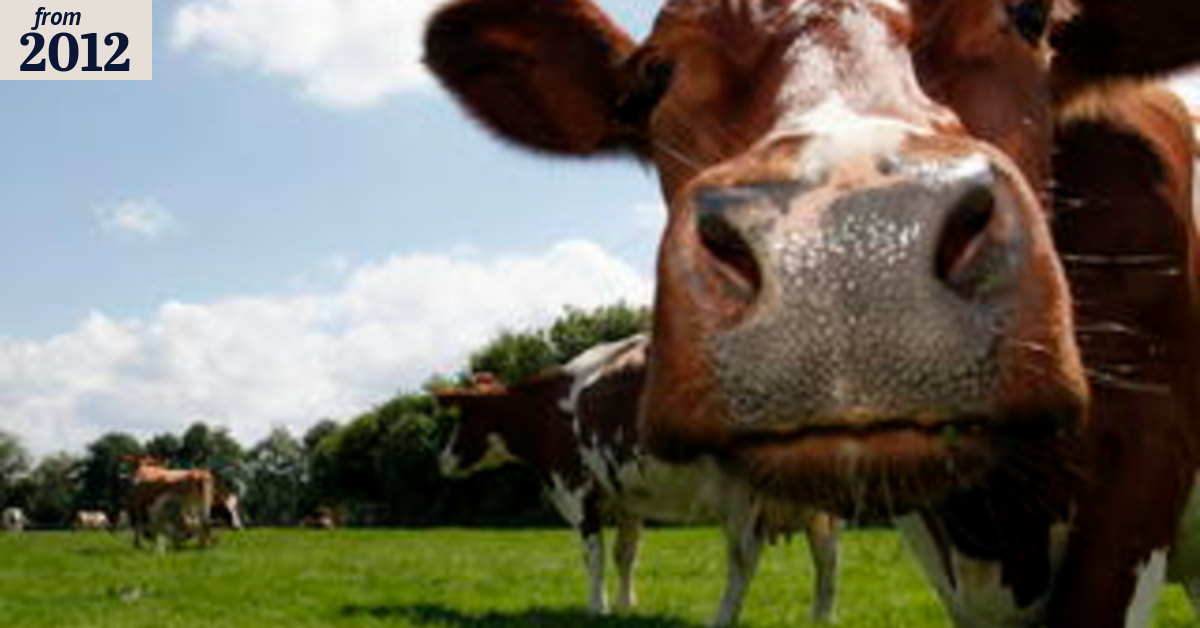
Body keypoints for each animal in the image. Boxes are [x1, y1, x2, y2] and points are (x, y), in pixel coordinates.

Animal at [436, 335, 839, 626]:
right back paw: (821, 619)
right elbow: (625, 555)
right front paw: (625, 606)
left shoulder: (576, 491)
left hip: (742, 494)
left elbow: (594, 555)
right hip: (820, 499)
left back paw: (722, 618)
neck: (549, 412)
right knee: (827, 556)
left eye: (462, 417)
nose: (442, 459)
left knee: (745, 556)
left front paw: (596, 609)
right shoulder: (628, 499)